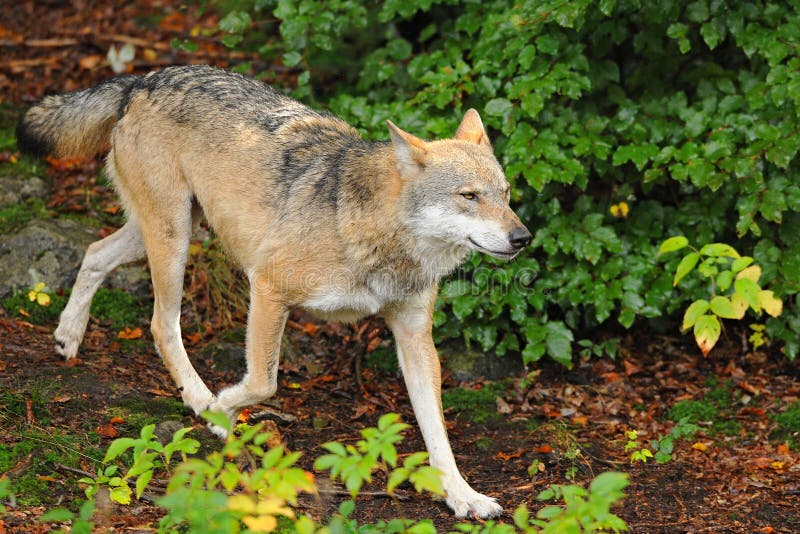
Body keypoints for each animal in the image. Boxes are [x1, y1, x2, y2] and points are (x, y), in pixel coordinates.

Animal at [17, 65, 532, 518]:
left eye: (506, 194)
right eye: (469, 196)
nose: (523, 238)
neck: (373, 232)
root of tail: (144, 80)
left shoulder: (414, 335)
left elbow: (437, 433)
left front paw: (462, 497)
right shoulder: (267, 288)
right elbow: (264, 383)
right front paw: (219, 409)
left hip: (163, 232)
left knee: (93, 252)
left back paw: (68, 336)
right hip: (173, 240)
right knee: (162, 324)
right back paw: (198, 398)